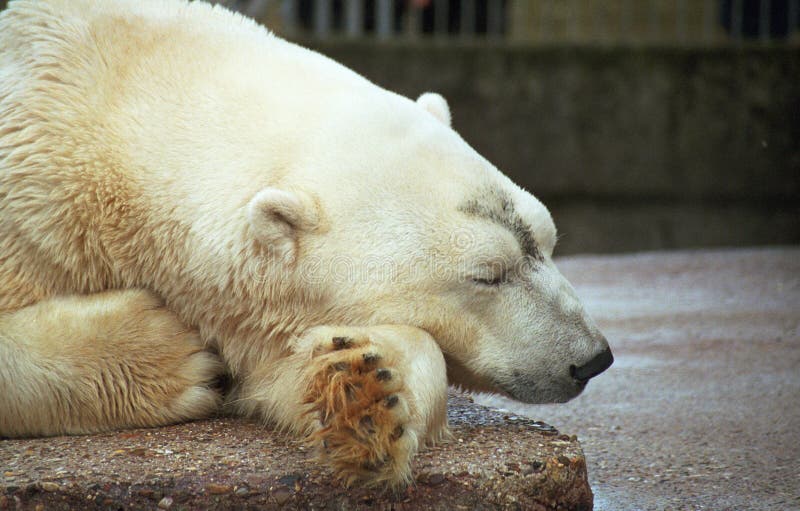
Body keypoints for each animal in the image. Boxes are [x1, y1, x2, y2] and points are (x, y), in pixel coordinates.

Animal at [0, 0, 613, 487]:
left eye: (549, 239)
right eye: (487, 275)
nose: (592, 359)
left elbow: (286, 371)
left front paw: (363, 388)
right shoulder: (32, 223)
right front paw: (168, 354)